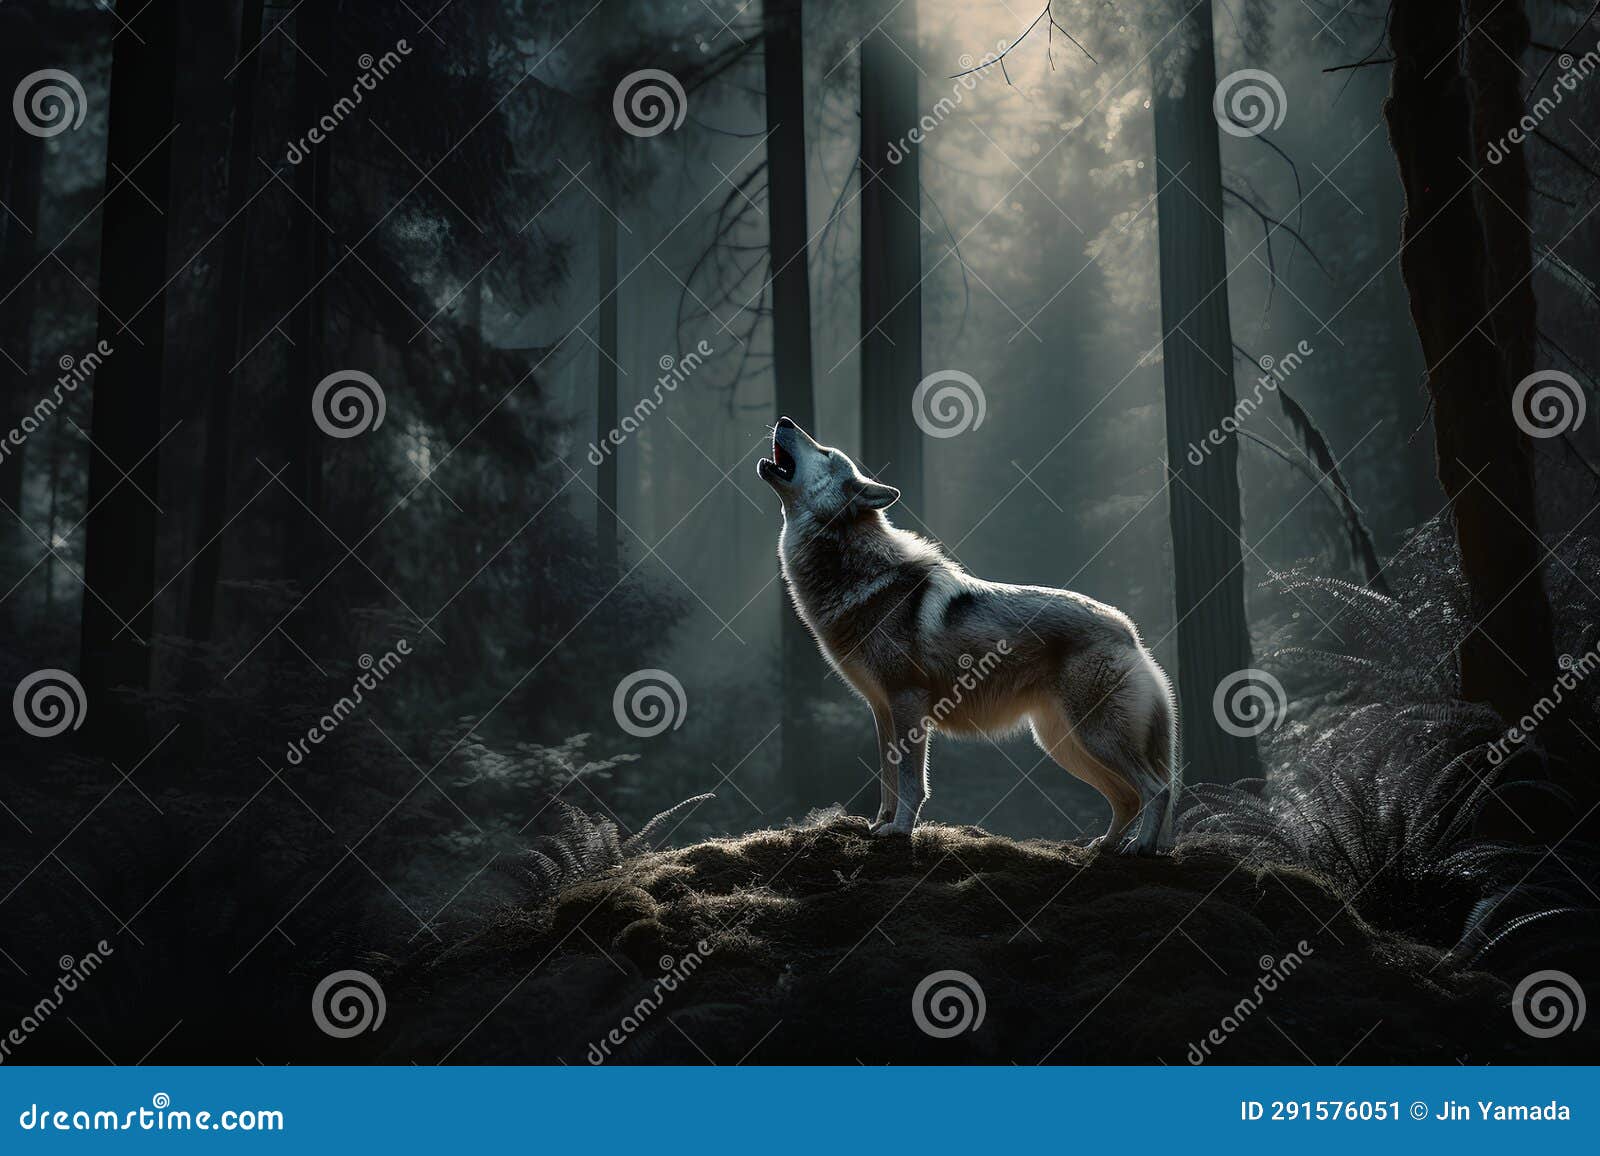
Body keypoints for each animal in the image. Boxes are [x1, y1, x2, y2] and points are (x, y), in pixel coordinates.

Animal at [757, 417, 1178, 853]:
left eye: (825, 452)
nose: (785, 420)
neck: (857, 572)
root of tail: (1130, 632)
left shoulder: (907, 701)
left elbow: (910, 783)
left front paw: (900, 830)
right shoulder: (881, 708)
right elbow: (888, 781)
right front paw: (879, 826)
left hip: (1093, 737)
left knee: (1156, 788)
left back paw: (1141, 847)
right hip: (1065, 743)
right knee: (1127, 798)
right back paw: (1104, 845)